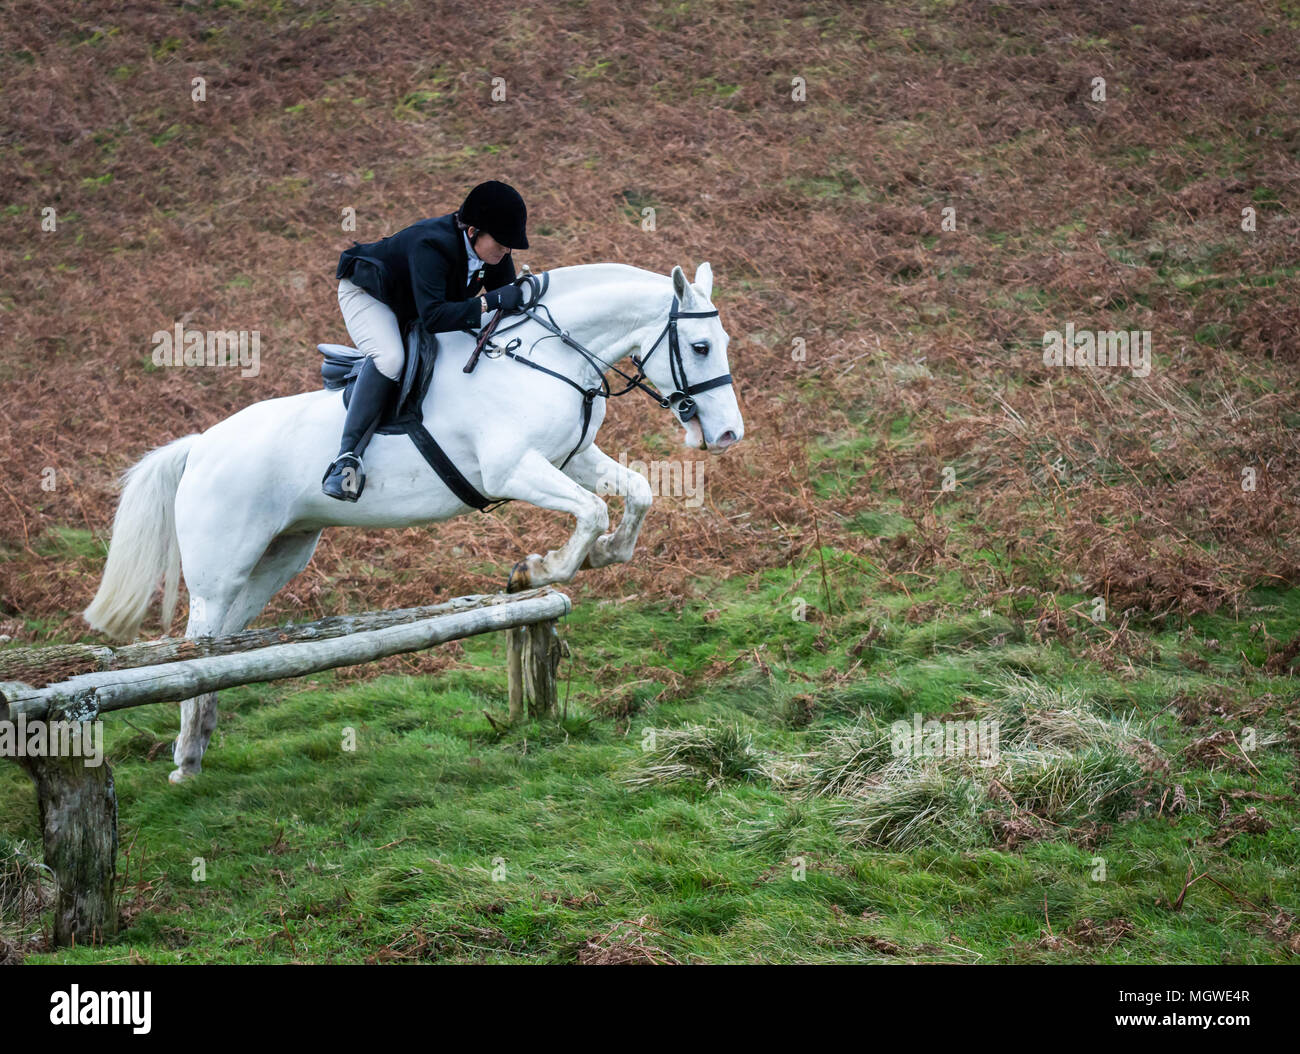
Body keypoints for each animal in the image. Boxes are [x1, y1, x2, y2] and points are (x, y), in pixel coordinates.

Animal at [83, 262, 744, 783]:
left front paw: (602, 555)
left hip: (278, 558)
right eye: (701, 347)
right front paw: (543, 568)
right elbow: (592, 510)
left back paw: (199, 741)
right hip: (221, 570)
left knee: (226, 644)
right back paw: (185, 759)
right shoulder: (511, 469)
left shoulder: (571, 457)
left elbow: (636, 494)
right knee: (197, 645)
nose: (729, 436)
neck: (545, 357)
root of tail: (200, 446)